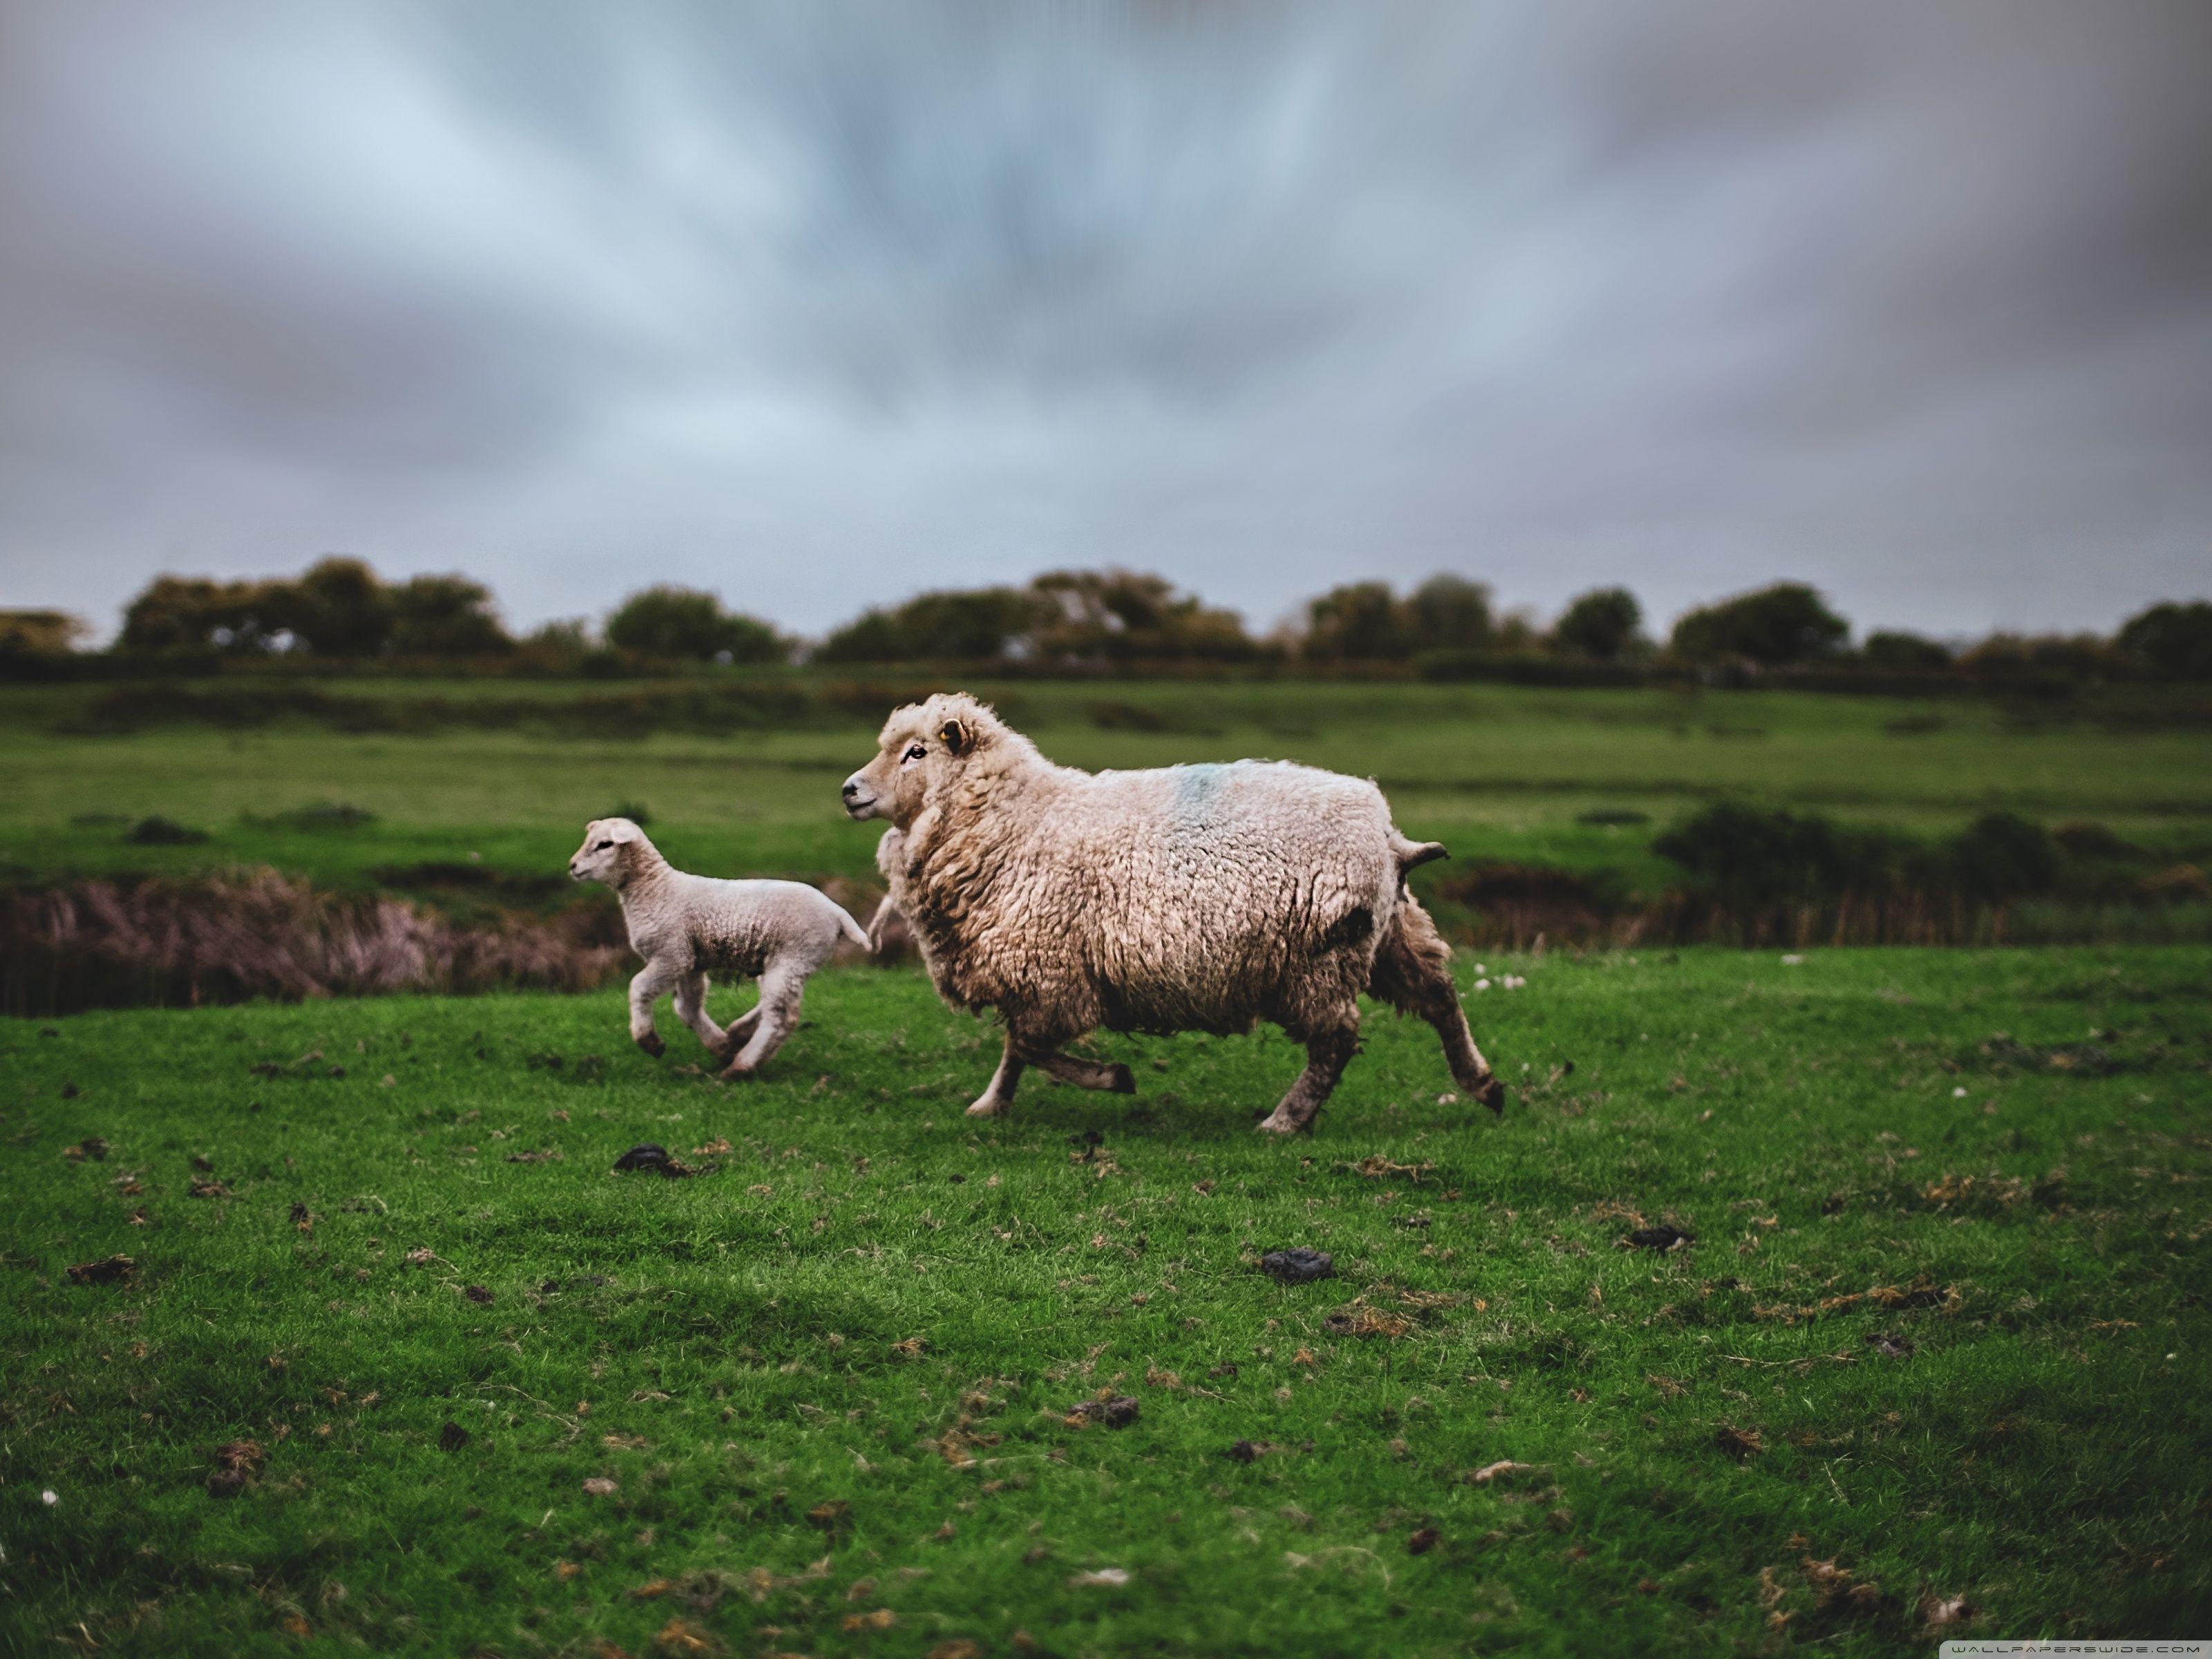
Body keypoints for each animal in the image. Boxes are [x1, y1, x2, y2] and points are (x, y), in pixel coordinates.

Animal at [567, 817, 868, 1078]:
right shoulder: (691, 961)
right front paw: (721, 1046)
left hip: (793, 957)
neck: (655, 889)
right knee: (775, 1003)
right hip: (784, 962)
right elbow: (687, 1008)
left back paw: (742, 1067)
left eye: (605, 844)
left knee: (782, 1016)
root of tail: (837, 912)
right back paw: (738, 1034)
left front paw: (649, 1042)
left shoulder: (672, 954)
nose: (572, 866)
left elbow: (639, 988)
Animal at [840, 693, 1504, 1132]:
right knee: (1440, 996)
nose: (849, 791)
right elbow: (1016, 1051)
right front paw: (991, 1105)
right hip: (1391, 935)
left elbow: (1029, 1046)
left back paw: (1284, 1121)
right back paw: (1483, 1084)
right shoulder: (1037, 975)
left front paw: (1113, 1078)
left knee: (1335, 1045)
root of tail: (1388, 834)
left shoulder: (1051, 973)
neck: (1014, 820)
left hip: (1320, 960)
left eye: (916, 753)